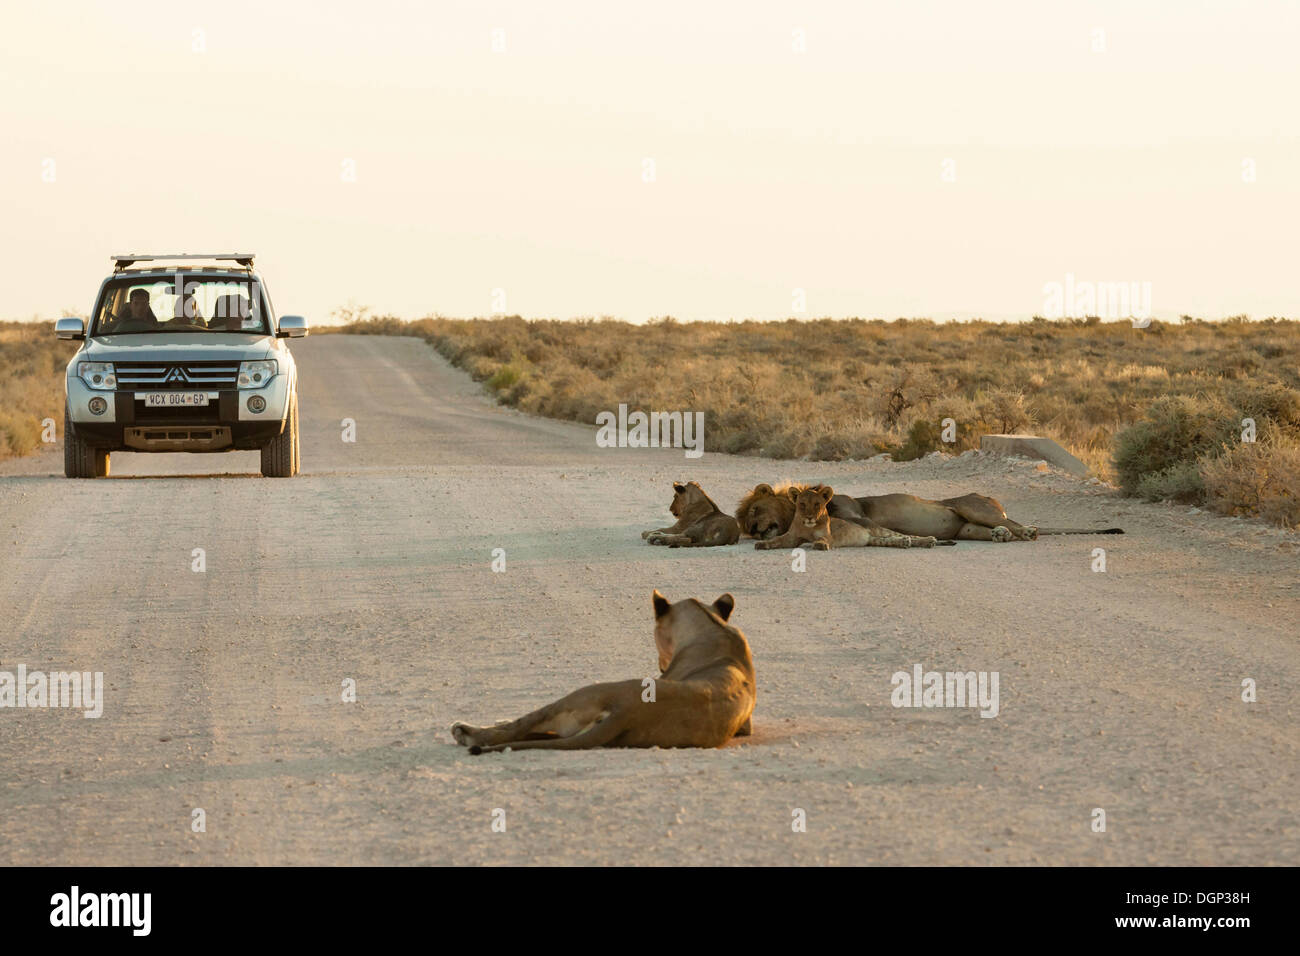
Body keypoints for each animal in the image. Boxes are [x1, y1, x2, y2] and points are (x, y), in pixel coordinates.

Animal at [450, 590, 756, 754]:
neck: (714, 626)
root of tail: (627, 712)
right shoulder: (746, 727)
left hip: (580, 695)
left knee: (521, 725)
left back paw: (466, 732)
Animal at [753, 484, 948, 550]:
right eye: (802, 504)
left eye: (817, 505)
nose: (809, 517)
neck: (807, 527)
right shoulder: (792, 538)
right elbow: (777, 540)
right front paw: (762, 544)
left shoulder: (828, 535)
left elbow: (824, 539)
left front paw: (820, 545)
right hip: (873, 539)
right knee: (892, 540)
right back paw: (904, 543)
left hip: (875, 527)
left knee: (905, 535)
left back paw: (928, 541)